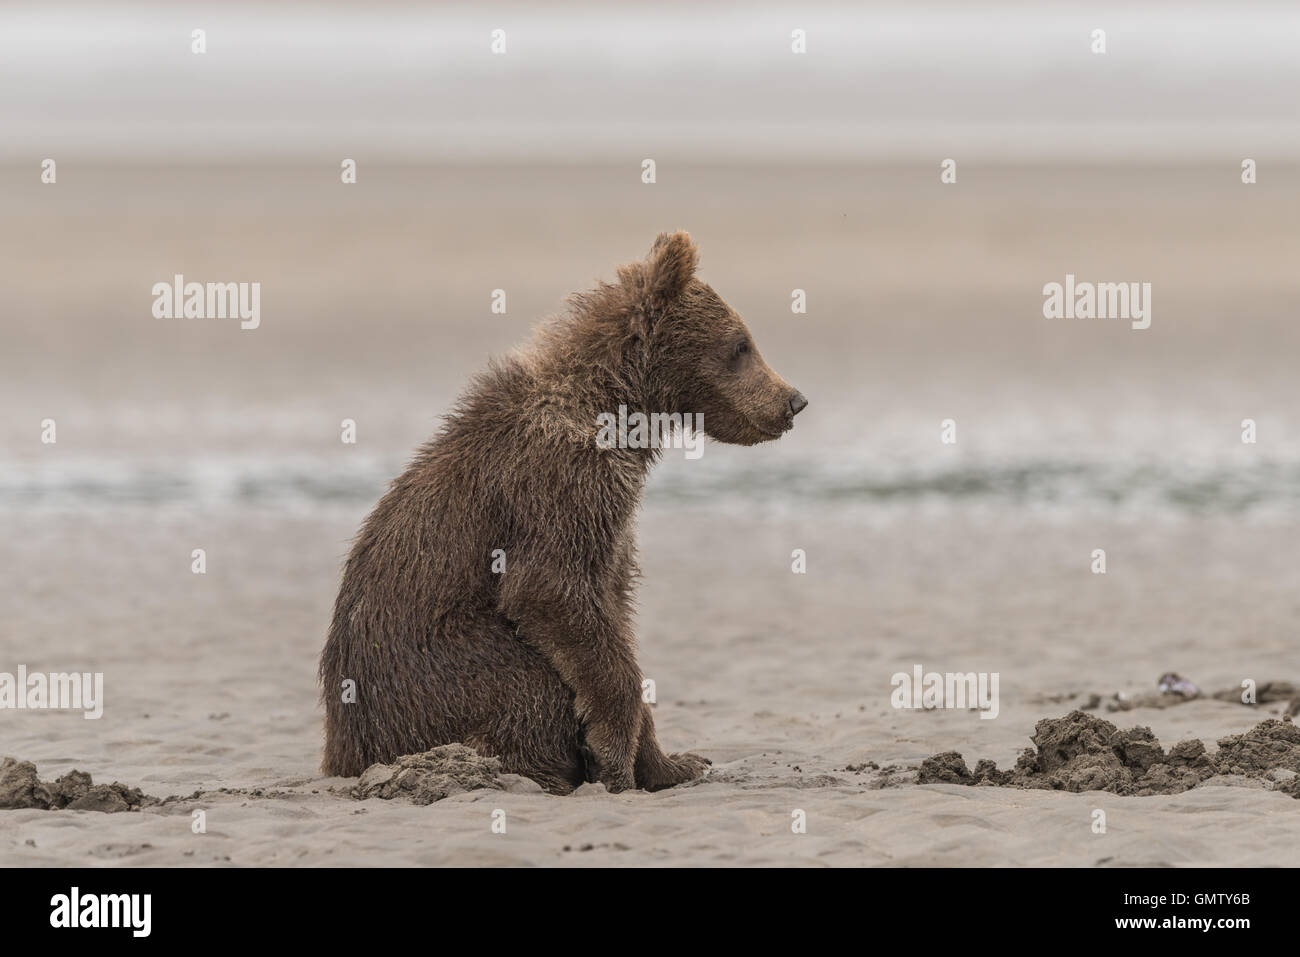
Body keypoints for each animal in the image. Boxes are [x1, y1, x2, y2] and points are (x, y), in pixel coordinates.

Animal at [319, 231, 807, 793]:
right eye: (740, 345)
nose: (793, 401)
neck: (616, 413)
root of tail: (343, 754)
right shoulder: (557, 489)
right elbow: (553, 593)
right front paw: (613, 758)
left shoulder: (613, 520)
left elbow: (615, 611)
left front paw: (675, 763)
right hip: (433, 668)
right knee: (522, 685)